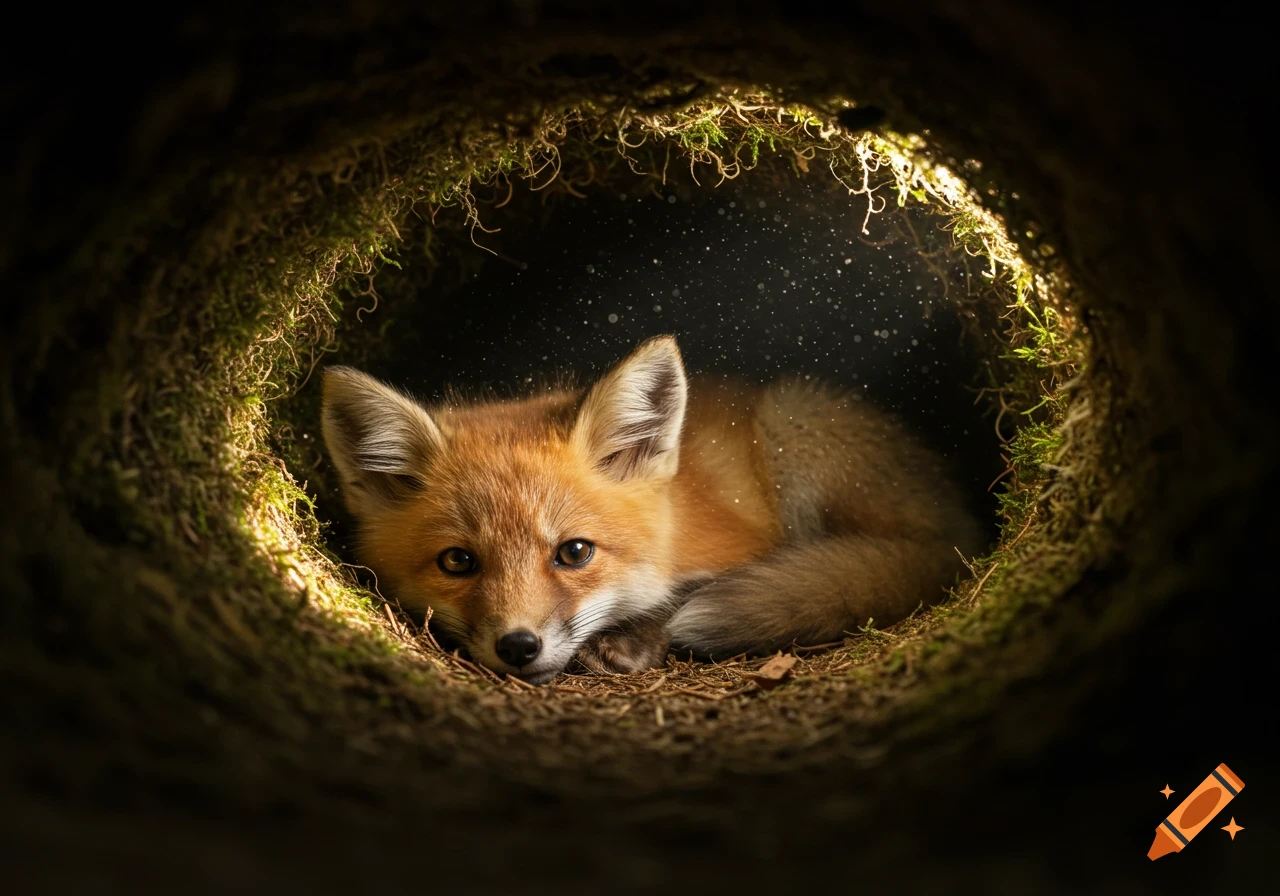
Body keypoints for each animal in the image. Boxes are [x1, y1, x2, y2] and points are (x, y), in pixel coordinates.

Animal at [321, 335, 985, 684]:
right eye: (457, 562)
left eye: (575, 552)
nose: (518, 647)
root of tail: (964, 537)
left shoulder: (746, 544)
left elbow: (690, 592)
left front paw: (636, 638)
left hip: (793, 416)